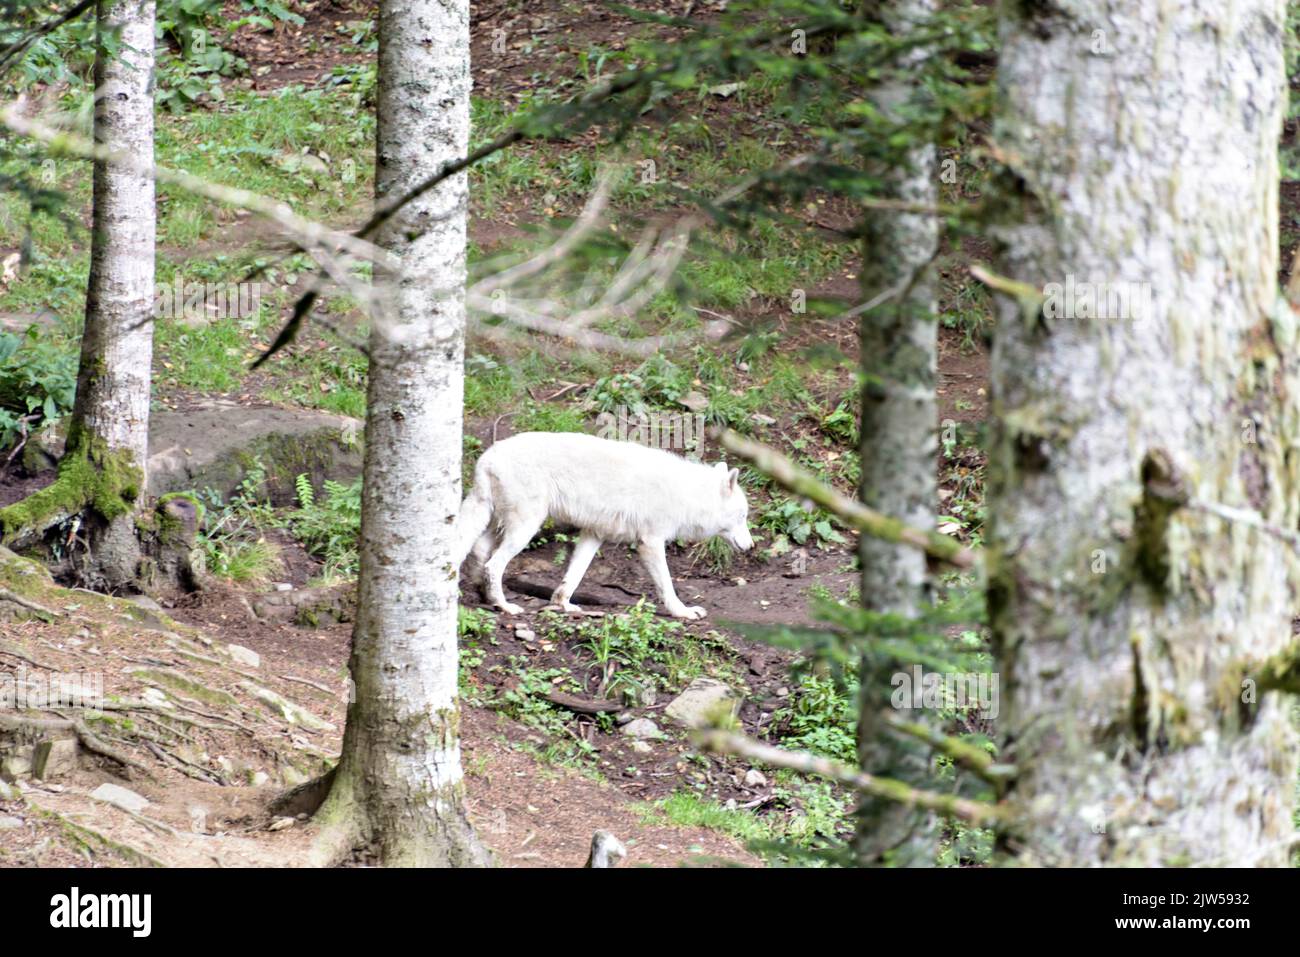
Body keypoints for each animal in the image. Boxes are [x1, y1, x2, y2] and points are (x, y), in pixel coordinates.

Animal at [453, 431, 754, 619]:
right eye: (742, 516)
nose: (751, 546)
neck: (686, 495)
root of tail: (487, 458)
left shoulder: (594, 534)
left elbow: (573, 576)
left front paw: (563, 604)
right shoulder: (651, 543)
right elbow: (667, 585)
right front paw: (684, 612)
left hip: (498, 524)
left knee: (479, 552)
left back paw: (484, 597)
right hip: (525, 528)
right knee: (494, 564)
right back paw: (504, 606)